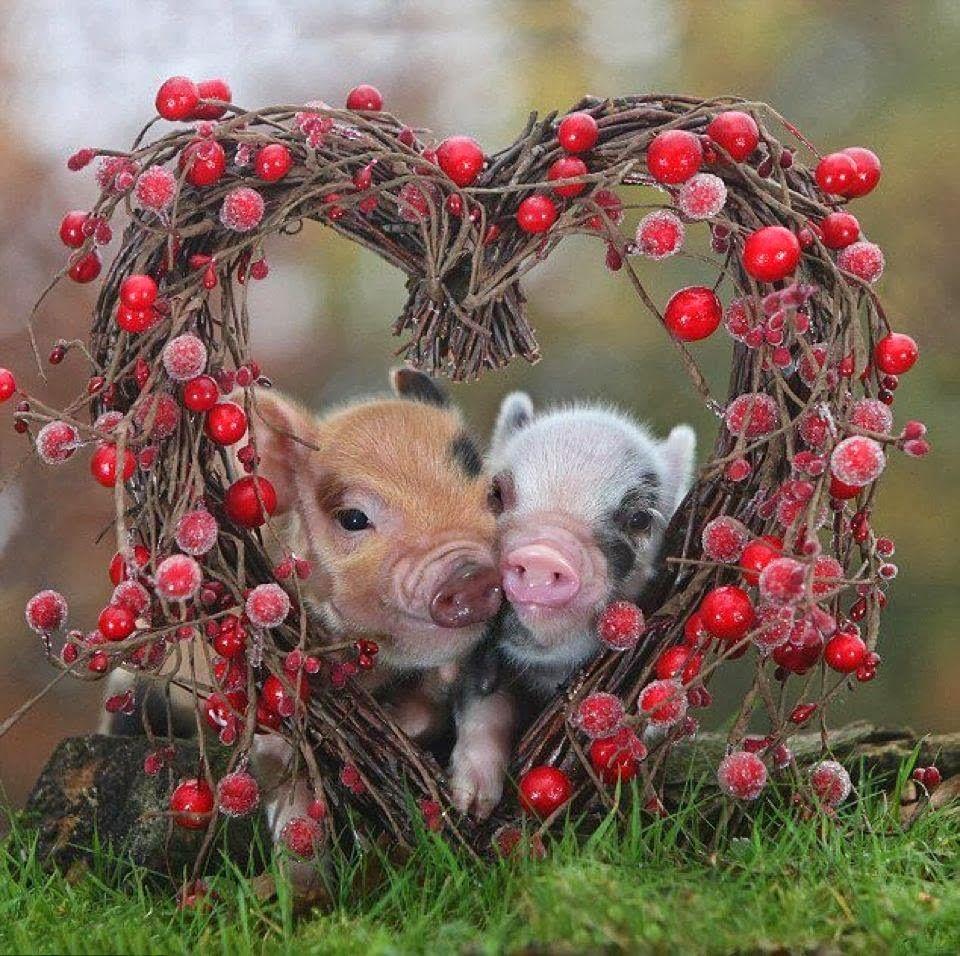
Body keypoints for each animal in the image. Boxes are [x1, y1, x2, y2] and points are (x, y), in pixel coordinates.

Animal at [102, 369, 502, 891]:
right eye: (353, 518)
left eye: (493, 494)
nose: (470, 575)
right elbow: (289, 796)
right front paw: (297, 891)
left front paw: (466, 799)